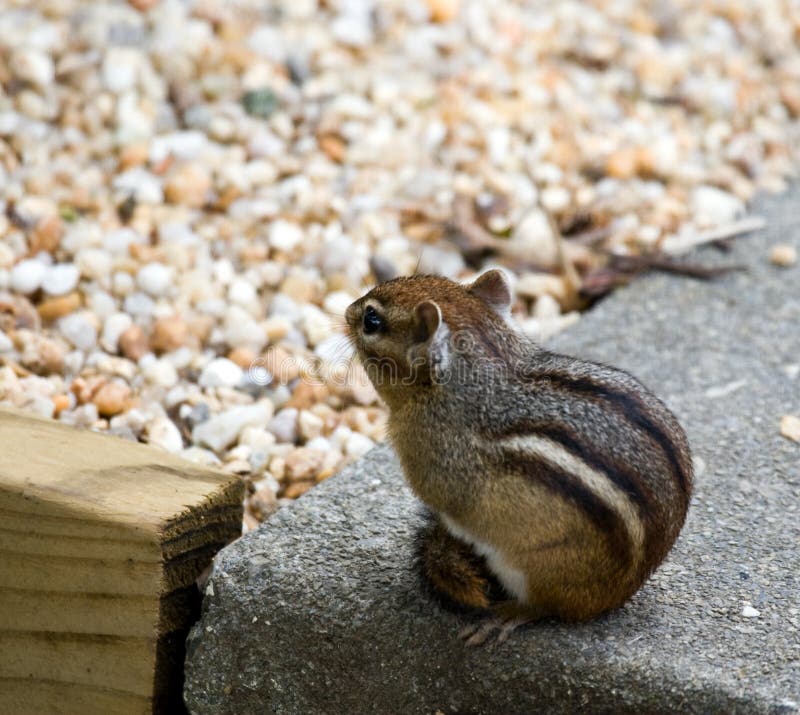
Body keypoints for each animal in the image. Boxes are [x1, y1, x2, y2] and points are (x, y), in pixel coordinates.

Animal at [345, 270, 693, 645]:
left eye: (371, 320)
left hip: (532, 569)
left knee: (546, 607)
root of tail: (615, 597)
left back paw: (507, 613)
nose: (348, 311)